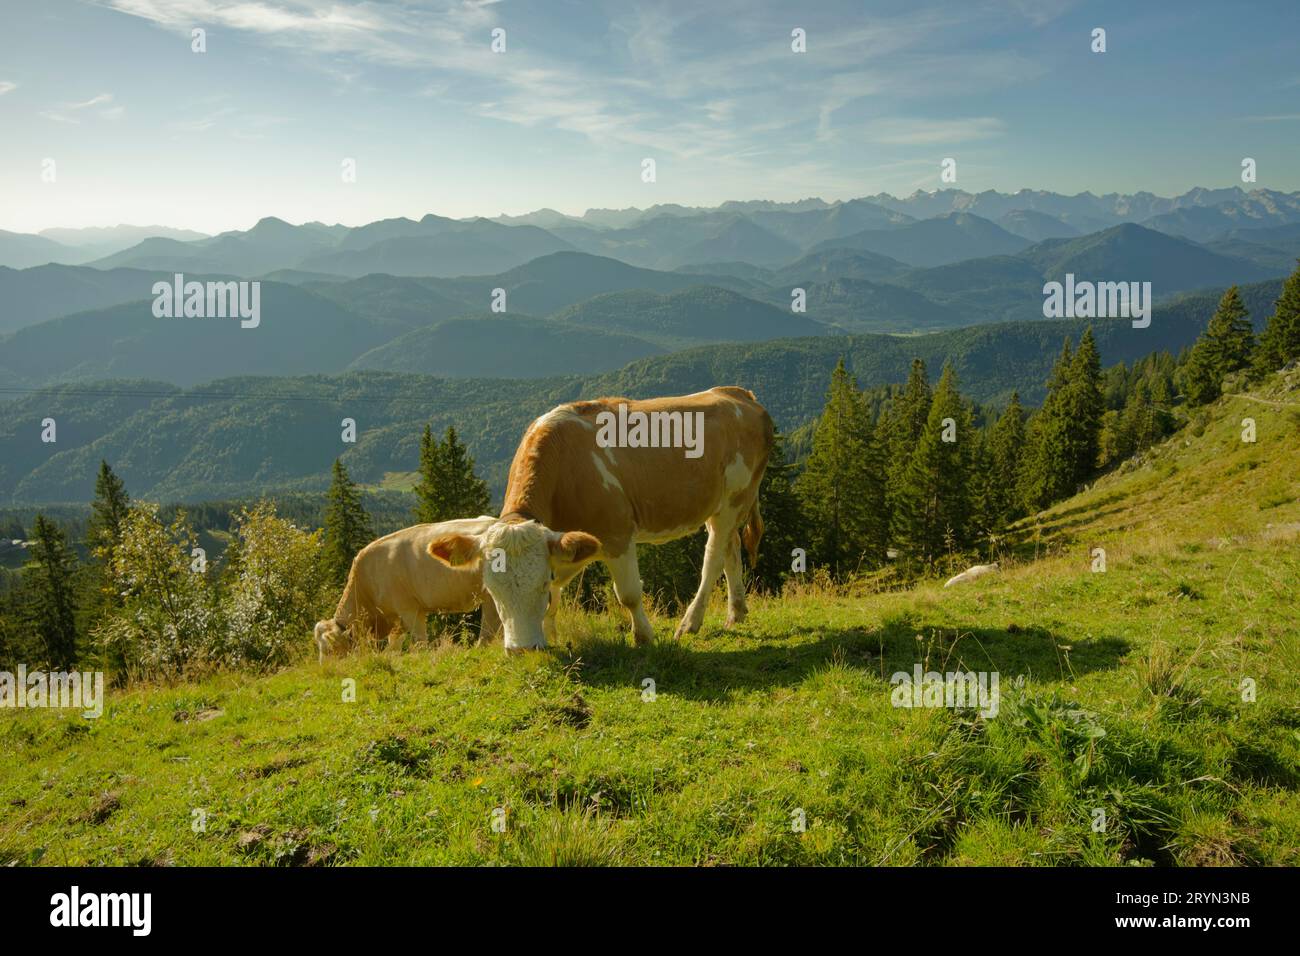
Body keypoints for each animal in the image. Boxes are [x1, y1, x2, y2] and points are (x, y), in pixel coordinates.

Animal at [314, 517, 502, 662]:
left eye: (329, 650)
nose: (324, 669)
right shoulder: (399, 618)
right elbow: (394, 644)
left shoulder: (409, 609)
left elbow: (420, 642)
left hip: (490, 596)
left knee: (490, 626)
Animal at [425, 387, 774, 651]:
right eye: (492, 590)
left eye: (539, 585)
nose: (521, 649)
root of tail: (739, 394)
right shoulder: (567, 541)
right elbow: (559, 593)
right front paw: (551, 635)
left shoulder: (617, 532)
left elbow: (629, 594)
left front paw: (644, 638)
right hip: (720, 504)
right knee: (730, 549)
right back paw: (736, 612)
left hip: (735, 498)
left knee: (713, 557)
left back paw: (691, 622)